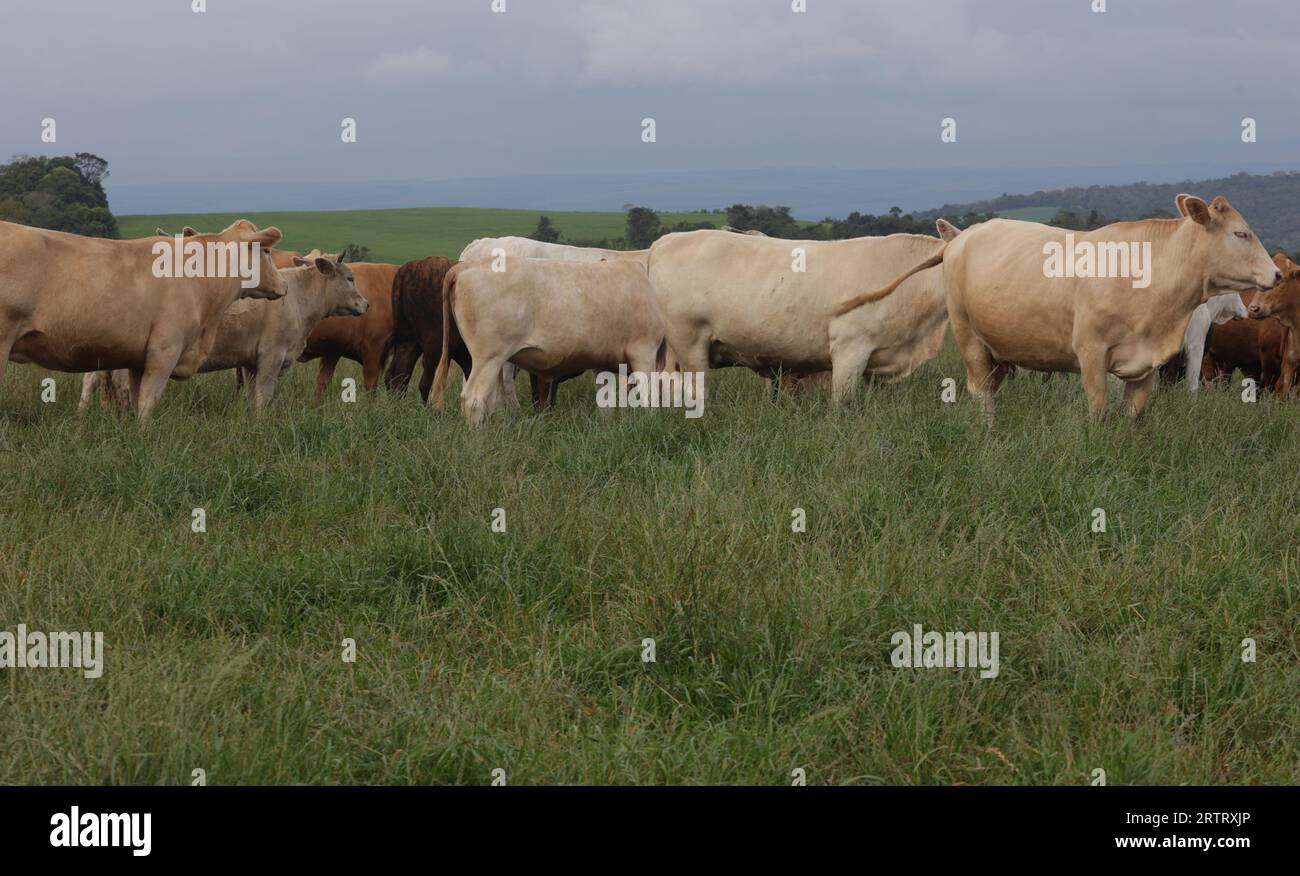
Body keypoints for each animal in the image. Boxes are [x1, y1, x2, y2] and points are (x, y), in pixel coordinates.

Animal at [1, 219, 286, 419]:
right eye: (267, 252)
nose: (283, 284)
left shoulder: (138, 359)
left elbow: (135, 399)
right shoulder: (164, 351)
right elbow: (148, 401)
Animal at [429, 258, 665, 427]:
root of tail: (465, 266)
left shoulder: (602, 362)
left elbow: (606, 401)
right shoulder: (644, 351)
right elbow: (649, 395)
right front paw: (651, 425)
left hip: (495, 361)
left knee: (492, 398)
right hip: (488, 356)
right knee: (473, 398)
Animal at [846, 195, 1279, 419]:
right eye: (1241, 233)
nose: (1276, 274)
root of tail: (964, 236)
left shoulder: (1147, 362)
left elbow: (1134, 413)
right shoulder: (1091, 352)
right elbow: (1099, 409)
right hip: (968, 335)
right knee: (980, 392)